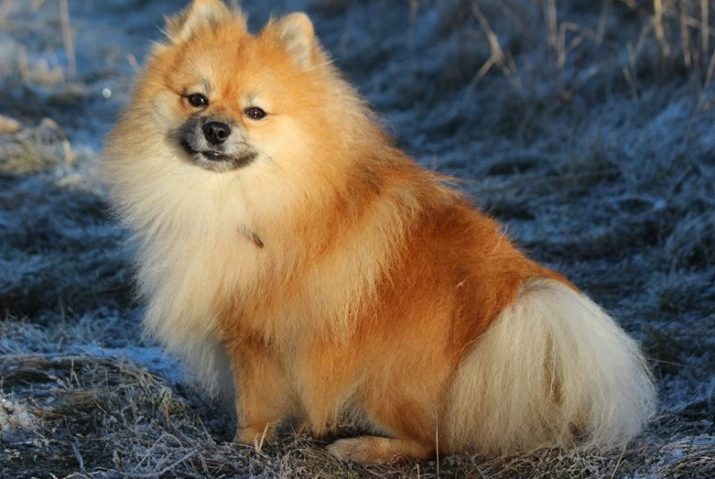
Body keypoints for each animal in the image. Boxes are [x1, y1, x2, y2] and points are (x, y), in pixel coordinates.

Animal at [103, 0, 656, 464]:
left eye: (255, 112)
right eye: (196, 99)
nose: (216, 129)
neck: (247, 195)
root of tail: (513, 305)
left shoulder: (257, 334)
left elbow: (254, 405)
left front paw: (243, 447)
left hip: (383, 376)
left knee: (432, 442)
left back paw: (361, 447)